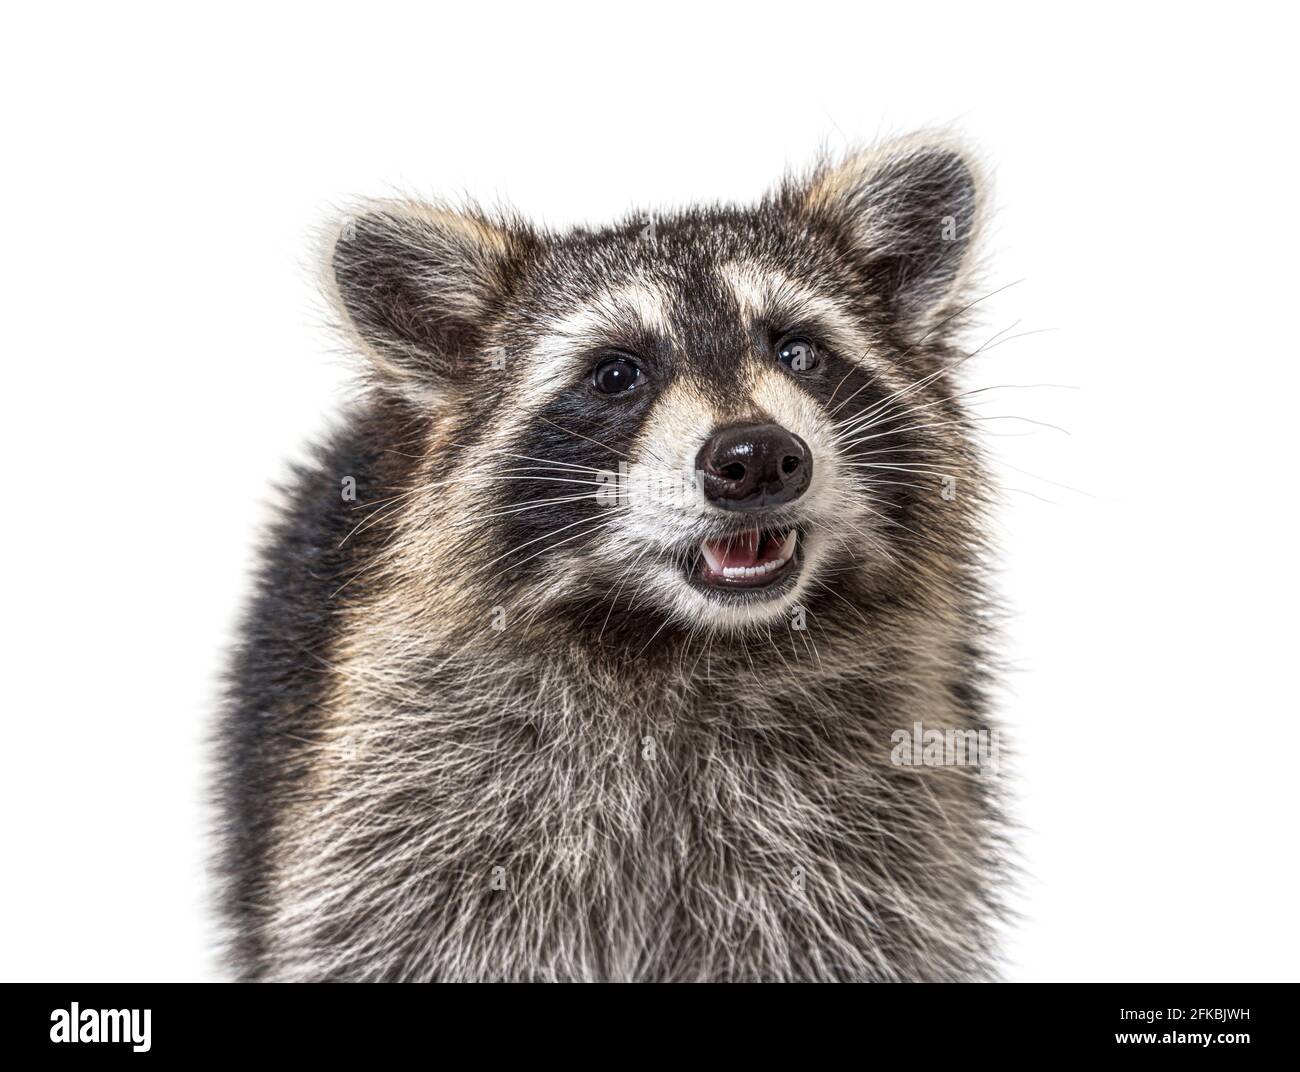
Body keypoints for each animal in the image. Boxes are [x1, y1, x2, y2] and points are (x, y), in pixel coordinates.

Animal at [217, 134, 1008, 982]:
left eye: (799, 351)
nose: (757, 457)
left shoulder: (870, 823)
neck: (674, 640)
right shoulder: (412, 804)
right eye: (617, 373)